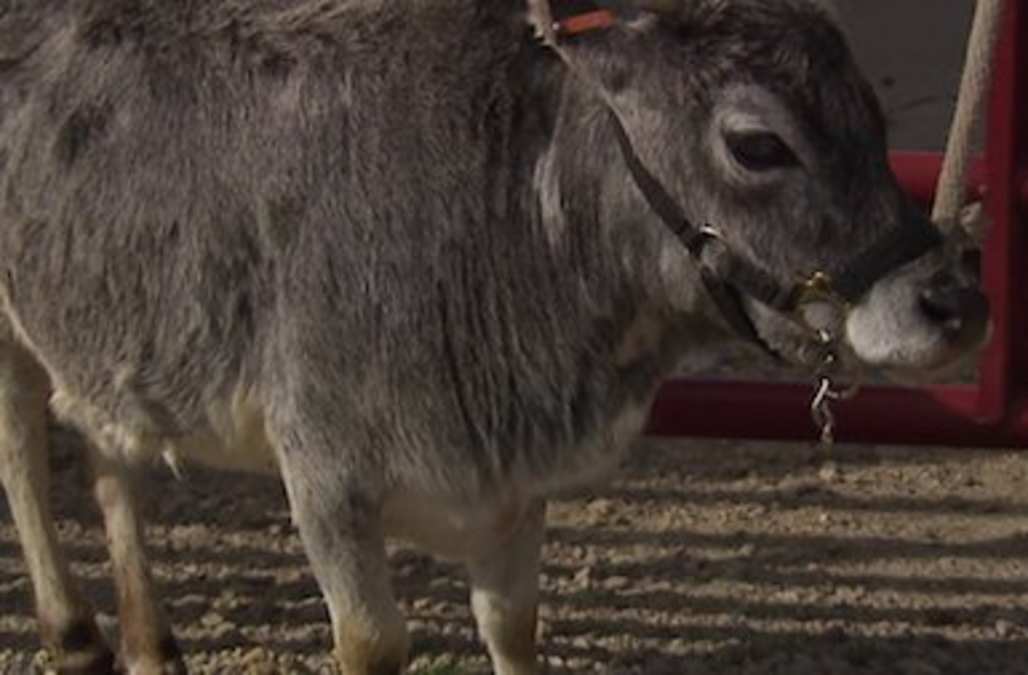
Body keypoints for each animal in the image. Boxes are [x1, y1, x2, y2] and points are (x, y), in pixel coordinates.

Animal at [0, 0, 989, 673]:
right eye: (757, 143)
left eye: (872, 116)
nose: (954, 302)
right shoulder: (323, 474)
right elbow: (374, 641)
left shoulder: (514, 488)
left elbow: (512, 625)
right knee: (24, 460)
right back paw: (74, 630)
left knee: (108, 454)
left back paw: (148, 638)